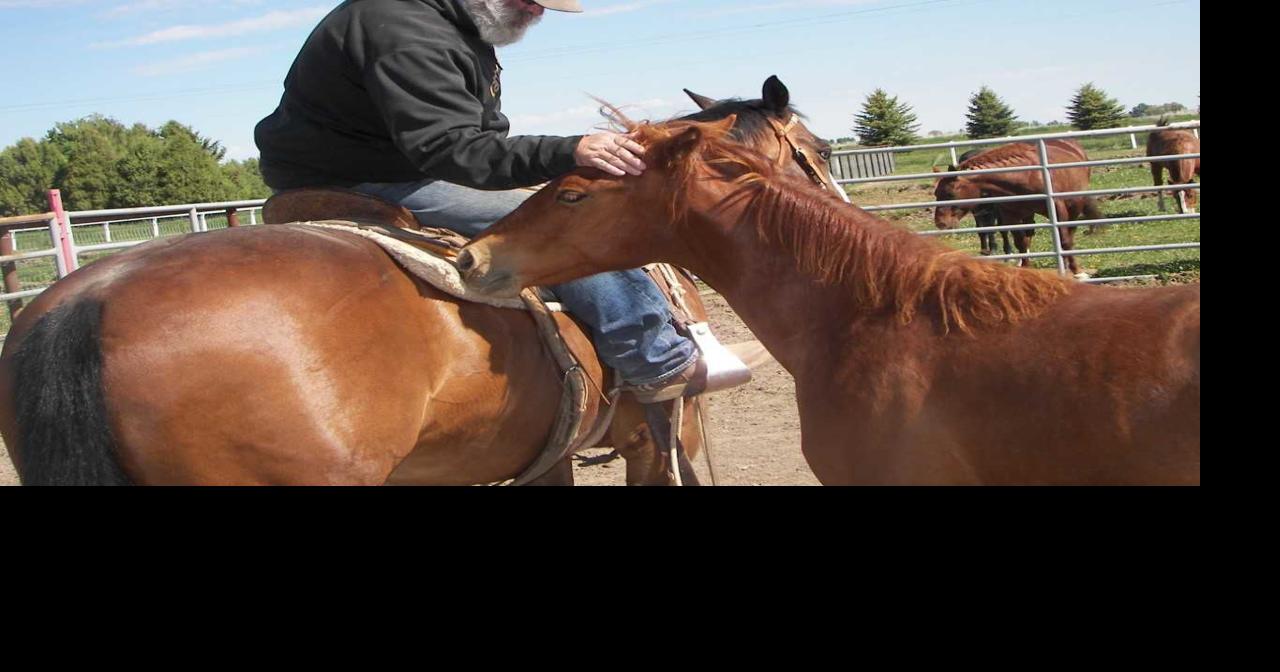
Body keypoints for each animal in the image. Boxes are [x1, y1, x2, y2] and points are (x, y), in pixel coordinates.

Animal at [933, 140, 1103, 279]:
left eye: (950, 194)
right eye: (935, 193)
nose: (940, 222)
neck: (1024, 175)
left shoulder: (1058, 210)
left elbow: (1065, 240)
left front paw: (1078, 272)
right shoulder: (1011, 216)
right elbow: (1021, 242)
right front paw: (1025, 269)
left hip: (1074, 205)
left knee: (1070, 231)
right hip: (1027, 214)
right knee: (1029, 234)